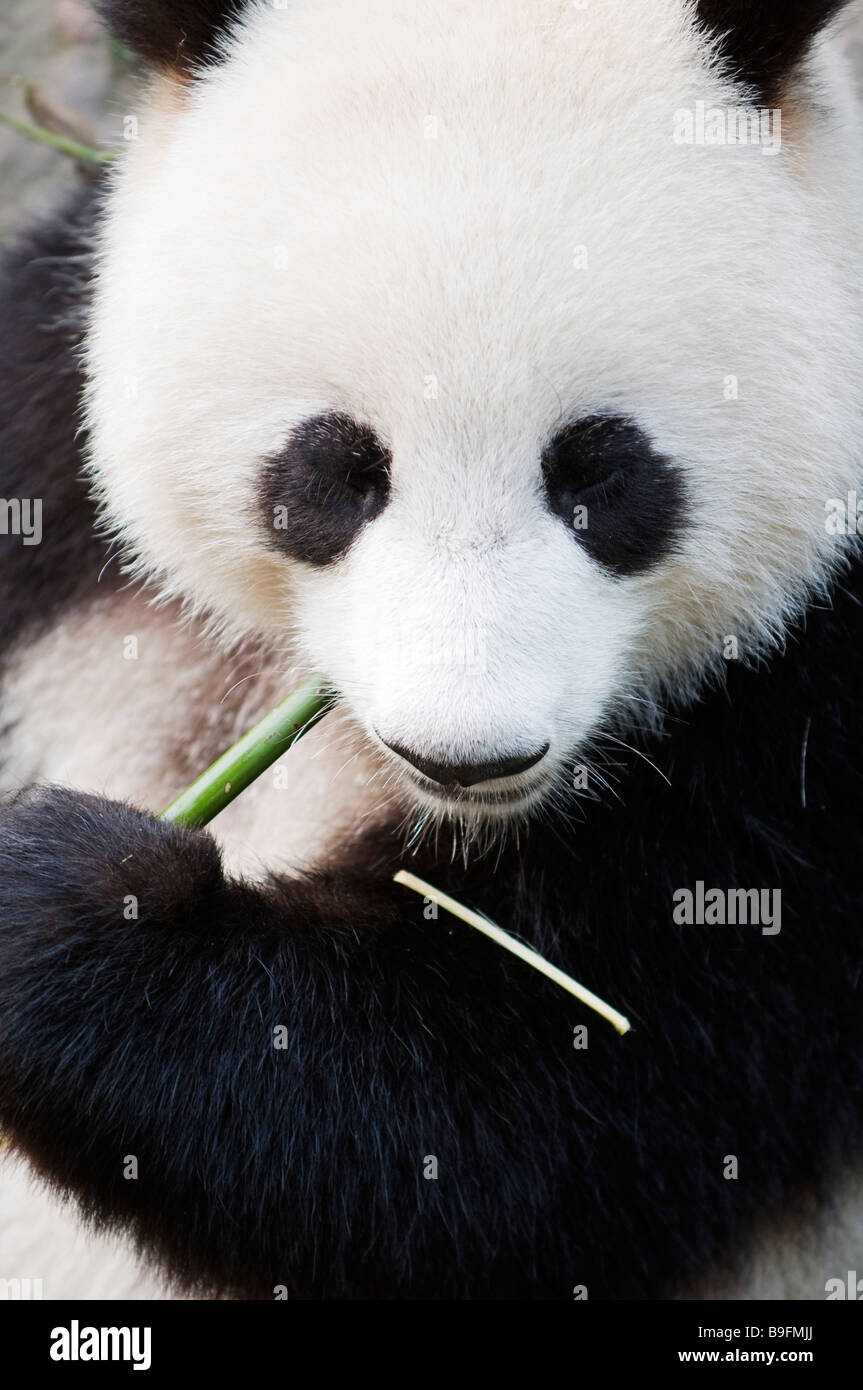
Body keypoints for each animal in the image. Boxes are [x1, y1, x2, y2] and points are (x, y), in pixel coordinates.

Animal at [0, 0, 862, 1302]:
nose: (464, 756)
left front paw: (67, 901)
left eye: (599, 476)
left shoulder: (814, 711)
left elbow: (509, 1127)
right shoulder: (46, 435)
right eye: (338, 471)